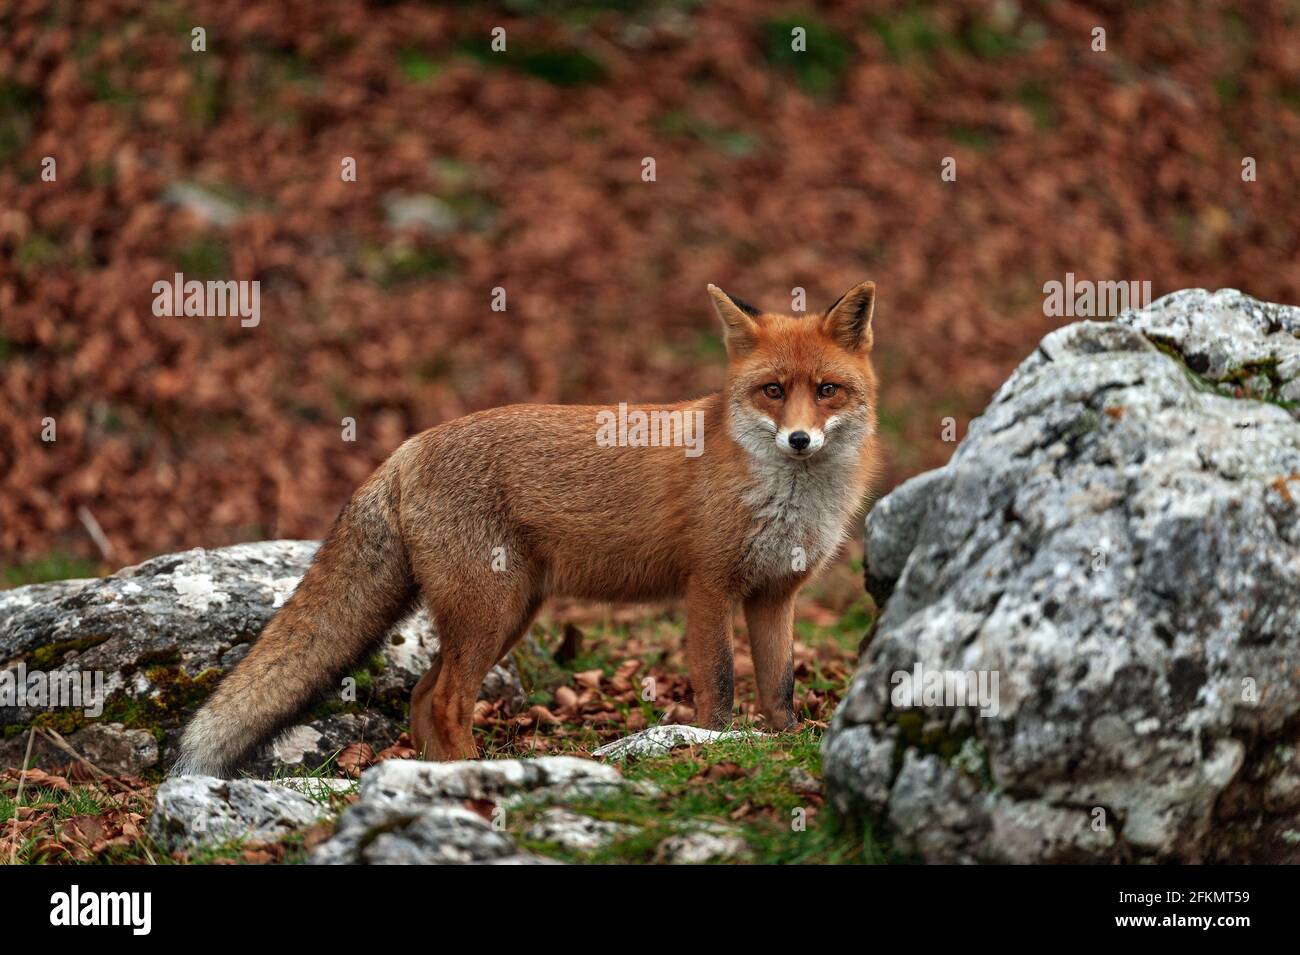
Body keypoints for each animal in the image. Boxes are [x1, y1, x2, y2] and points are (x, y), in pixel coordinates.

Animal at [172, 281, 881, 776]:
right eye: (771, 391)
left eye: (826, 390)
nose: (798, 440)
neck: (787, 500)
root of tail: (407, 447)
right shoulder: (709, 587)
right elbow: (722, 689)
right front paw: (711, 748)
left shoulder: (776, 594)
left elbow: (781, 688)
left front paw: (785, 747)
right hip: (492, 609)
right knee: (445, 700)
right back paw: (472, 776)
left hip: (509, 613)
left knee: (422, 695)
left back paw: (438, 778)